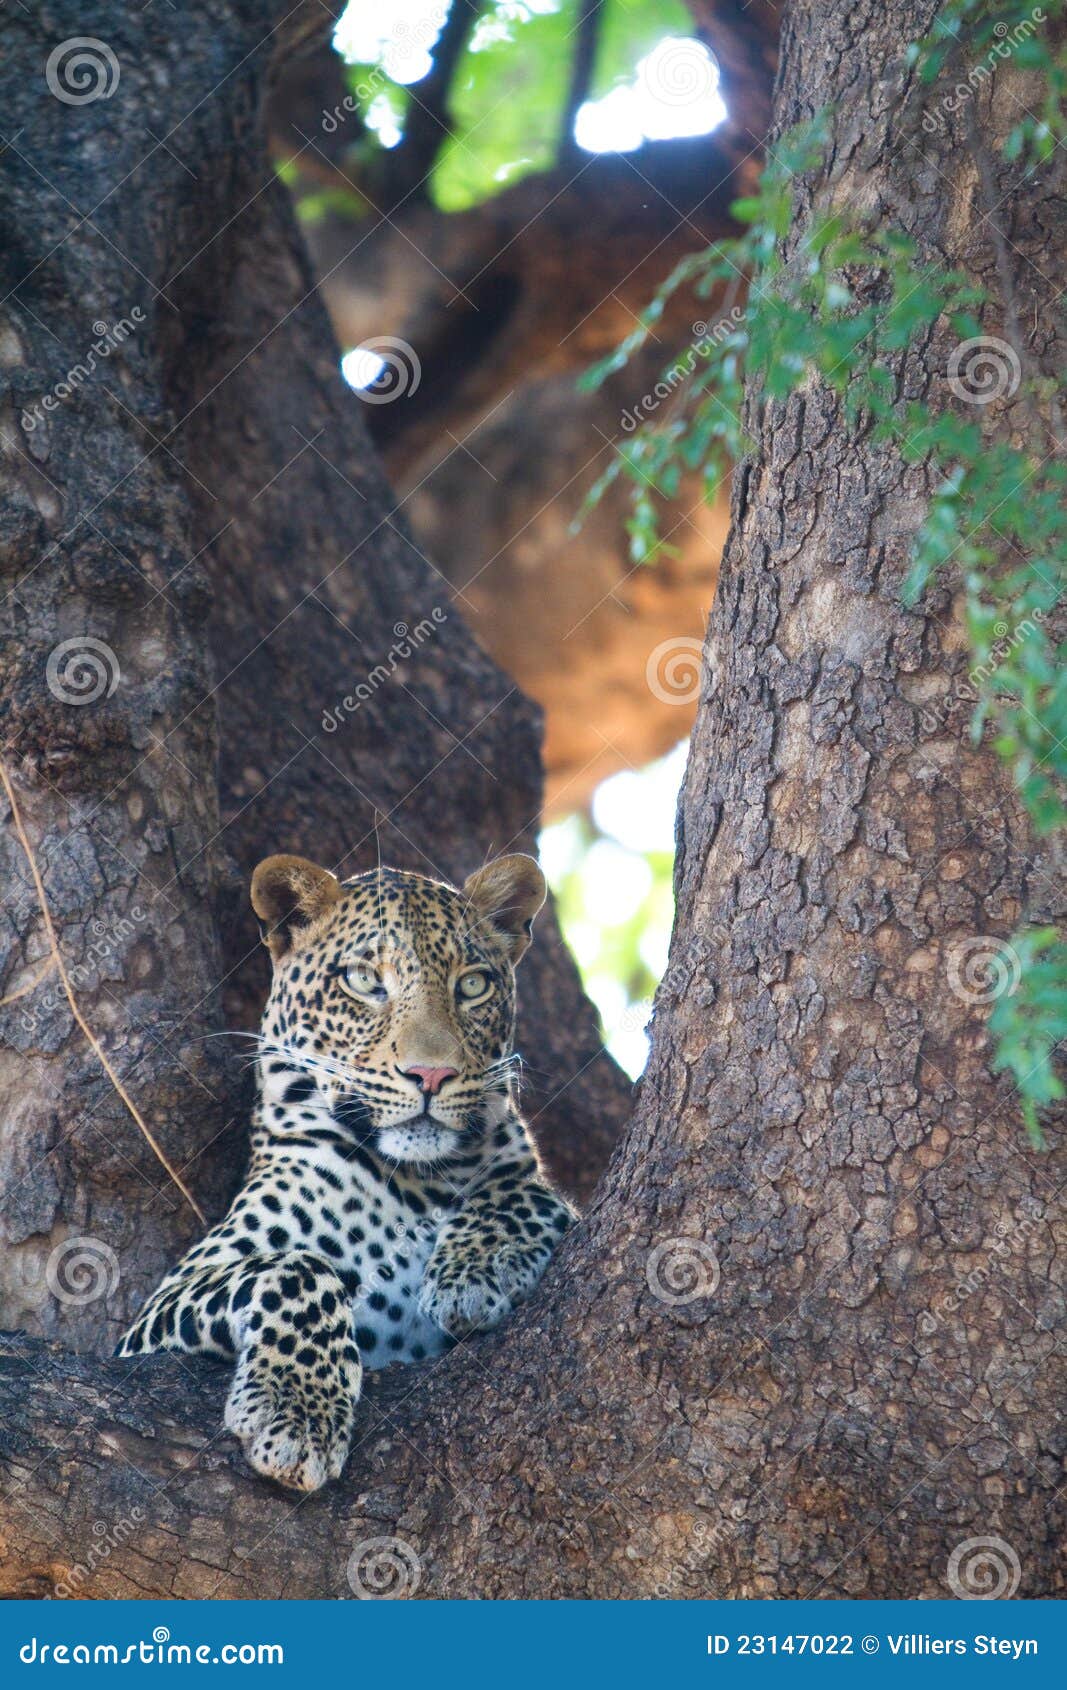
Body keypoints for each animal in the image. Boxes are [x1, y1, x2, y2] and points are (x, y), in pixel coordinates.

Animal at [116, 850, 575, 1492]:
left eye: (472, 985)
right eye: (363, 981)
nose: (431, 1075)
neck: (415, 1183)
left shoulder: (526, 1183)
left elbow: (527, 1191)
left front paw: (471, 1273)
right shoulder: (152, 1320)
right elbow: (297, 1268)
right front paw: (295, 1414)